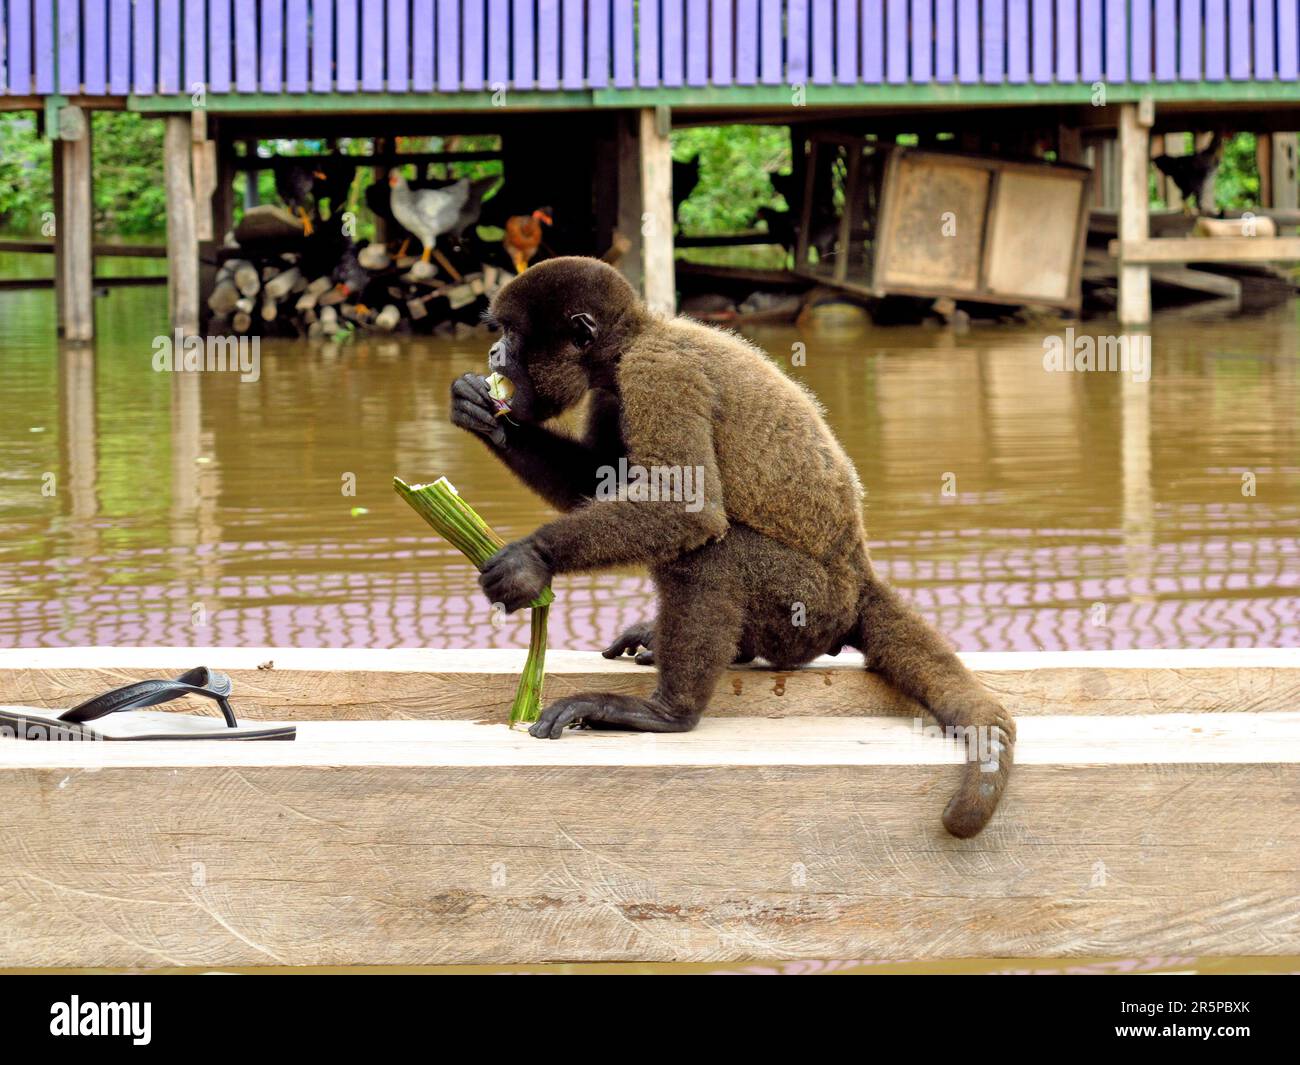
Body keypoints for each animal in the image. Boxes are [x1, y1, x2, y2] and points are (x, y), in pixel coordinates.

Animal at [449, 257, 1014, 837]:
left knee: (708, 553)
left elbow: (686, 507)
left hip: (807, 606)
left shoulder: (657, 373)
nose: (493, 355)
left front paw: (530, 561)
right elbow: (601, 479)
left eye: (510, 333)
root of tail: (859, 578)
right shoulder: (613, 391)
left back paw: (668, 714)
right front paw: (485, 417)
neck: (636, 338)